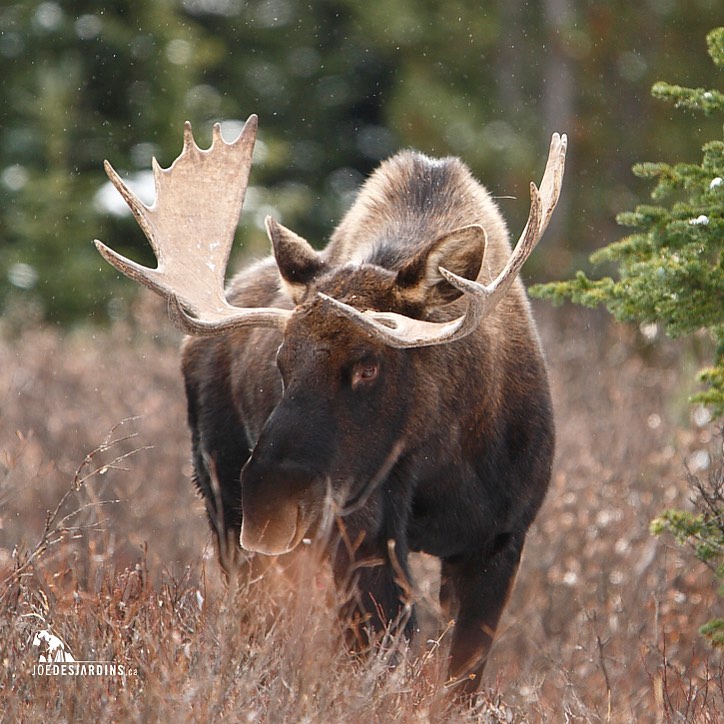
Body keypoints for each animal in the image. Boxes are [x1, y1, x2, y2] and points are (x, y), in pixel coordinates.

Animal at [95, 115, 566, 693]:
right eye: (282, 362)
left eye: (368, 365)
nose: (270, 503)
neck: (447, 462)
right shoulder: (363, 536)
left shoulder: (499, 540)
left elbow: (459, 682)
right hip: (226, 513)